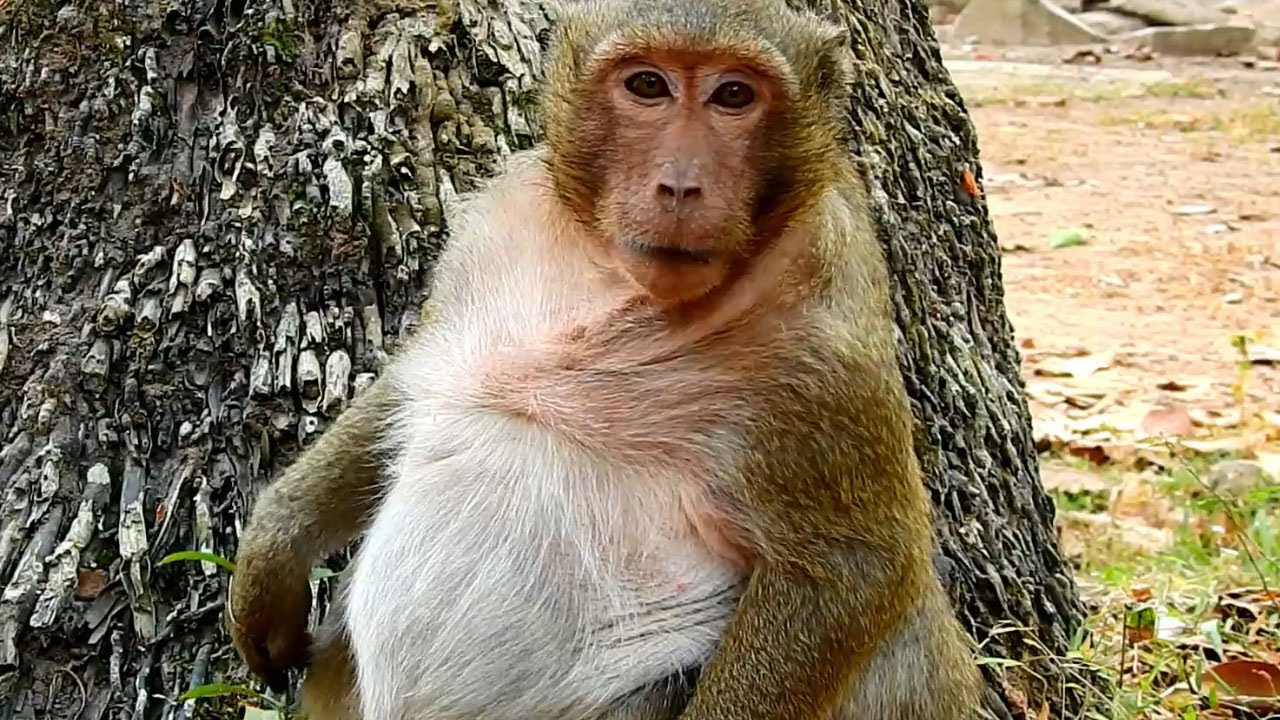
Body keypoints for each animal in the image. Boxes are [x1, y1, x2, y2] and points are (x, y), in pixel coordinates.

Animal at [226, 0, 989, 718]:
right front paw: (271, 550)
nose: (680, 185)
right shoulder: (495, 222)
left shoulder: (829, 340)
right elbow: (416, 381)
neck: (613, 278)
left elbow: (851, 571)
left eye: (733, 96)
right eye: (648, 85)